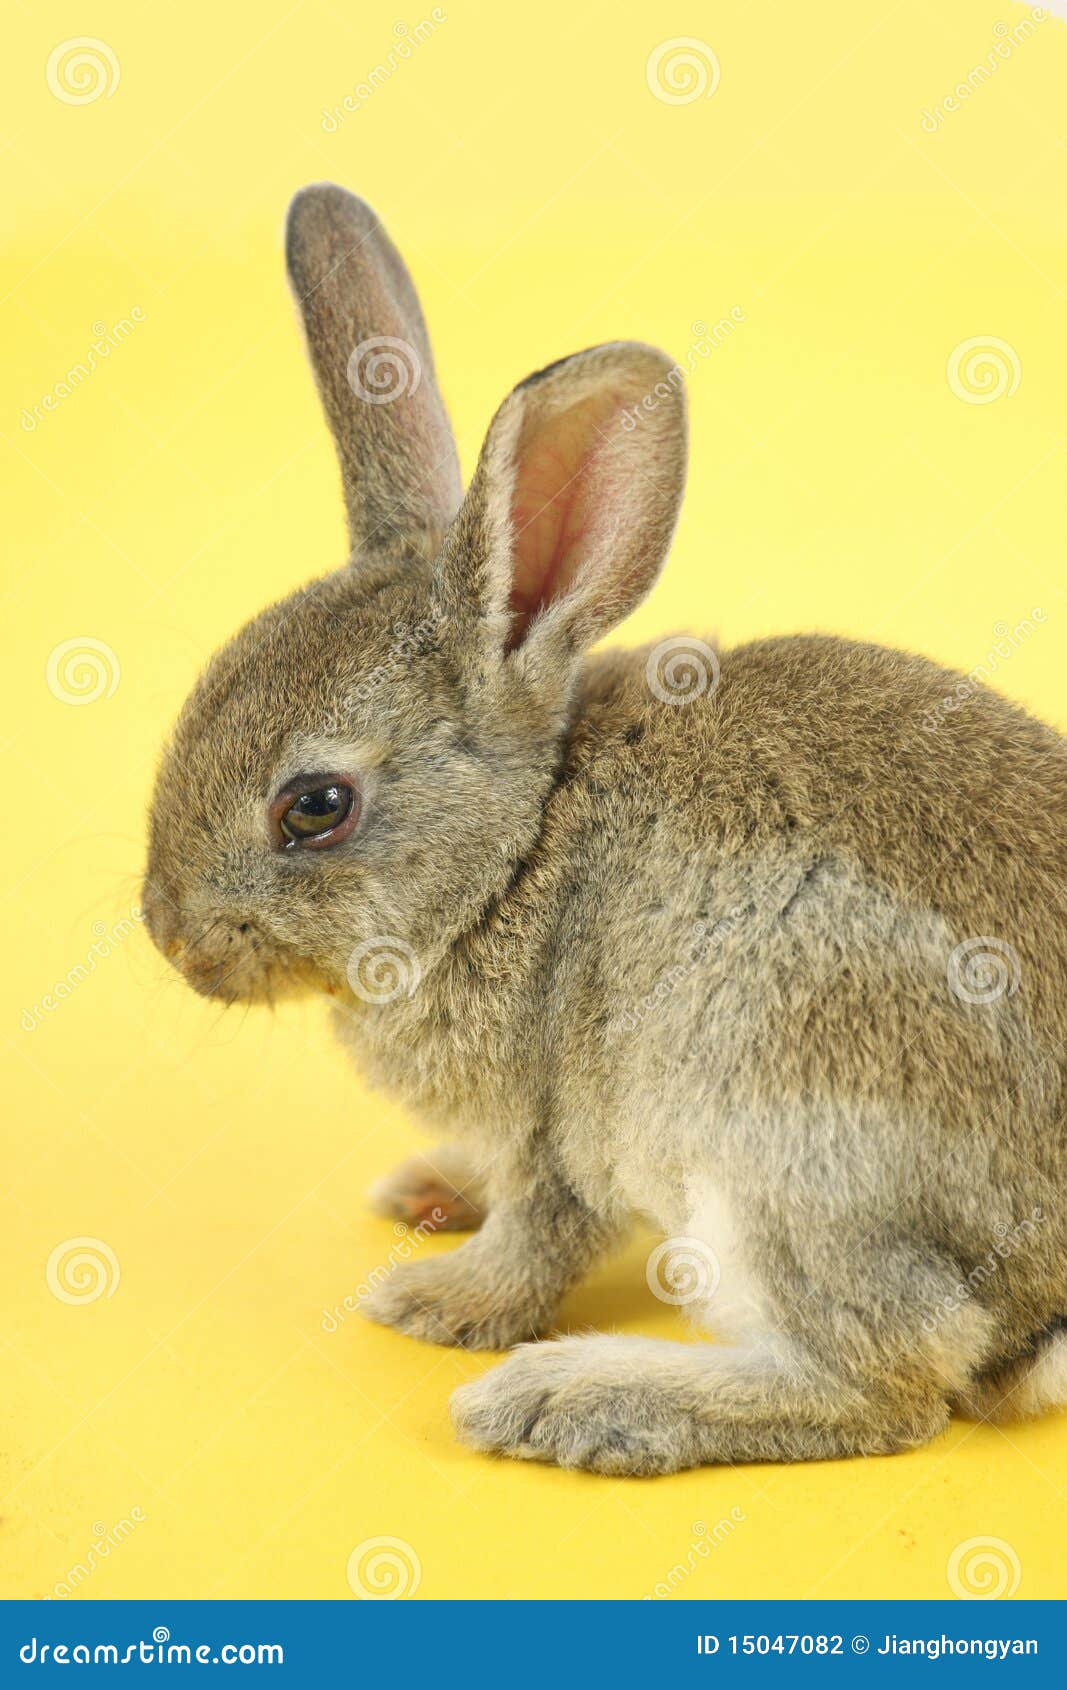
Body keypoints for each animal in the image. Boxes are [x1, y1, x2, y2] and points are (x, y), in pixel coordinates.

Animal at [143, 181, 1067, 1476]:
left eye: (313, 808)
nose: (171, 938)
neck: (513, 849)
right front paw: (425, 1194)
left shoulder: (563, 1124)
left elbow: (542, 1233)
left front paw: (434, 1303)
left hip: (776, 1131)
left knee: (885, 1383)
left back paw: (564, 1398)